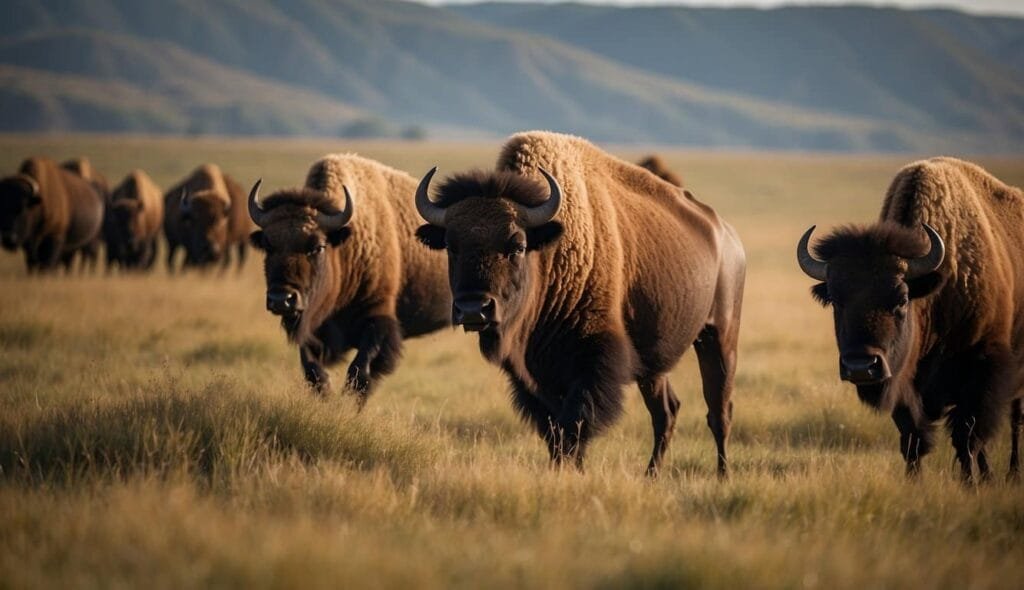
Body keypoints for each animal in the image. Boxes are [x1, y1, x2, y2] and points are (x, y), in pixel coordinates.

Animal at [248, 154, 451, 403]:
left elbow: (360, 372)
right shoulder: (312, 328)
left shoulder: (378, 318)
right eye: (268, 245)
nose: (281, 299)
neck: (344, 243)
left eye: (317, 247)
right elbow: (313, 371)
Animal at [414, 132, 746, 475]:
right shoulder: (533, 377)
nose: (473, 309)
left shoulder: (592, 364)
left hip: (719, 338)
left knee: (718, 411)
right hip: (654, 367)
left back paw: (722, 475)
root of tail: (727, 236)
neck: (549, 254)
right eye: (451, 246)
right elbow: (554, 431)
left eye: (517, 246)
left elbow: (575, 426)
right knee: (666, 412)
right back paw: (651, 475)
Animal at [798, 157, 1024, 483]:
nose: (861, 367)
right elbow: (913, 439)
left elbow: (967, 438)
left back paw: (1011, 474)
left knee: (1014, 421)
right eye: (836, 300)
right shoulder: (903, 383)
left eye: (902, 299)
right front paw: (914, 481)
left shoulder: (983, 369)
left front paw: (970, 484)